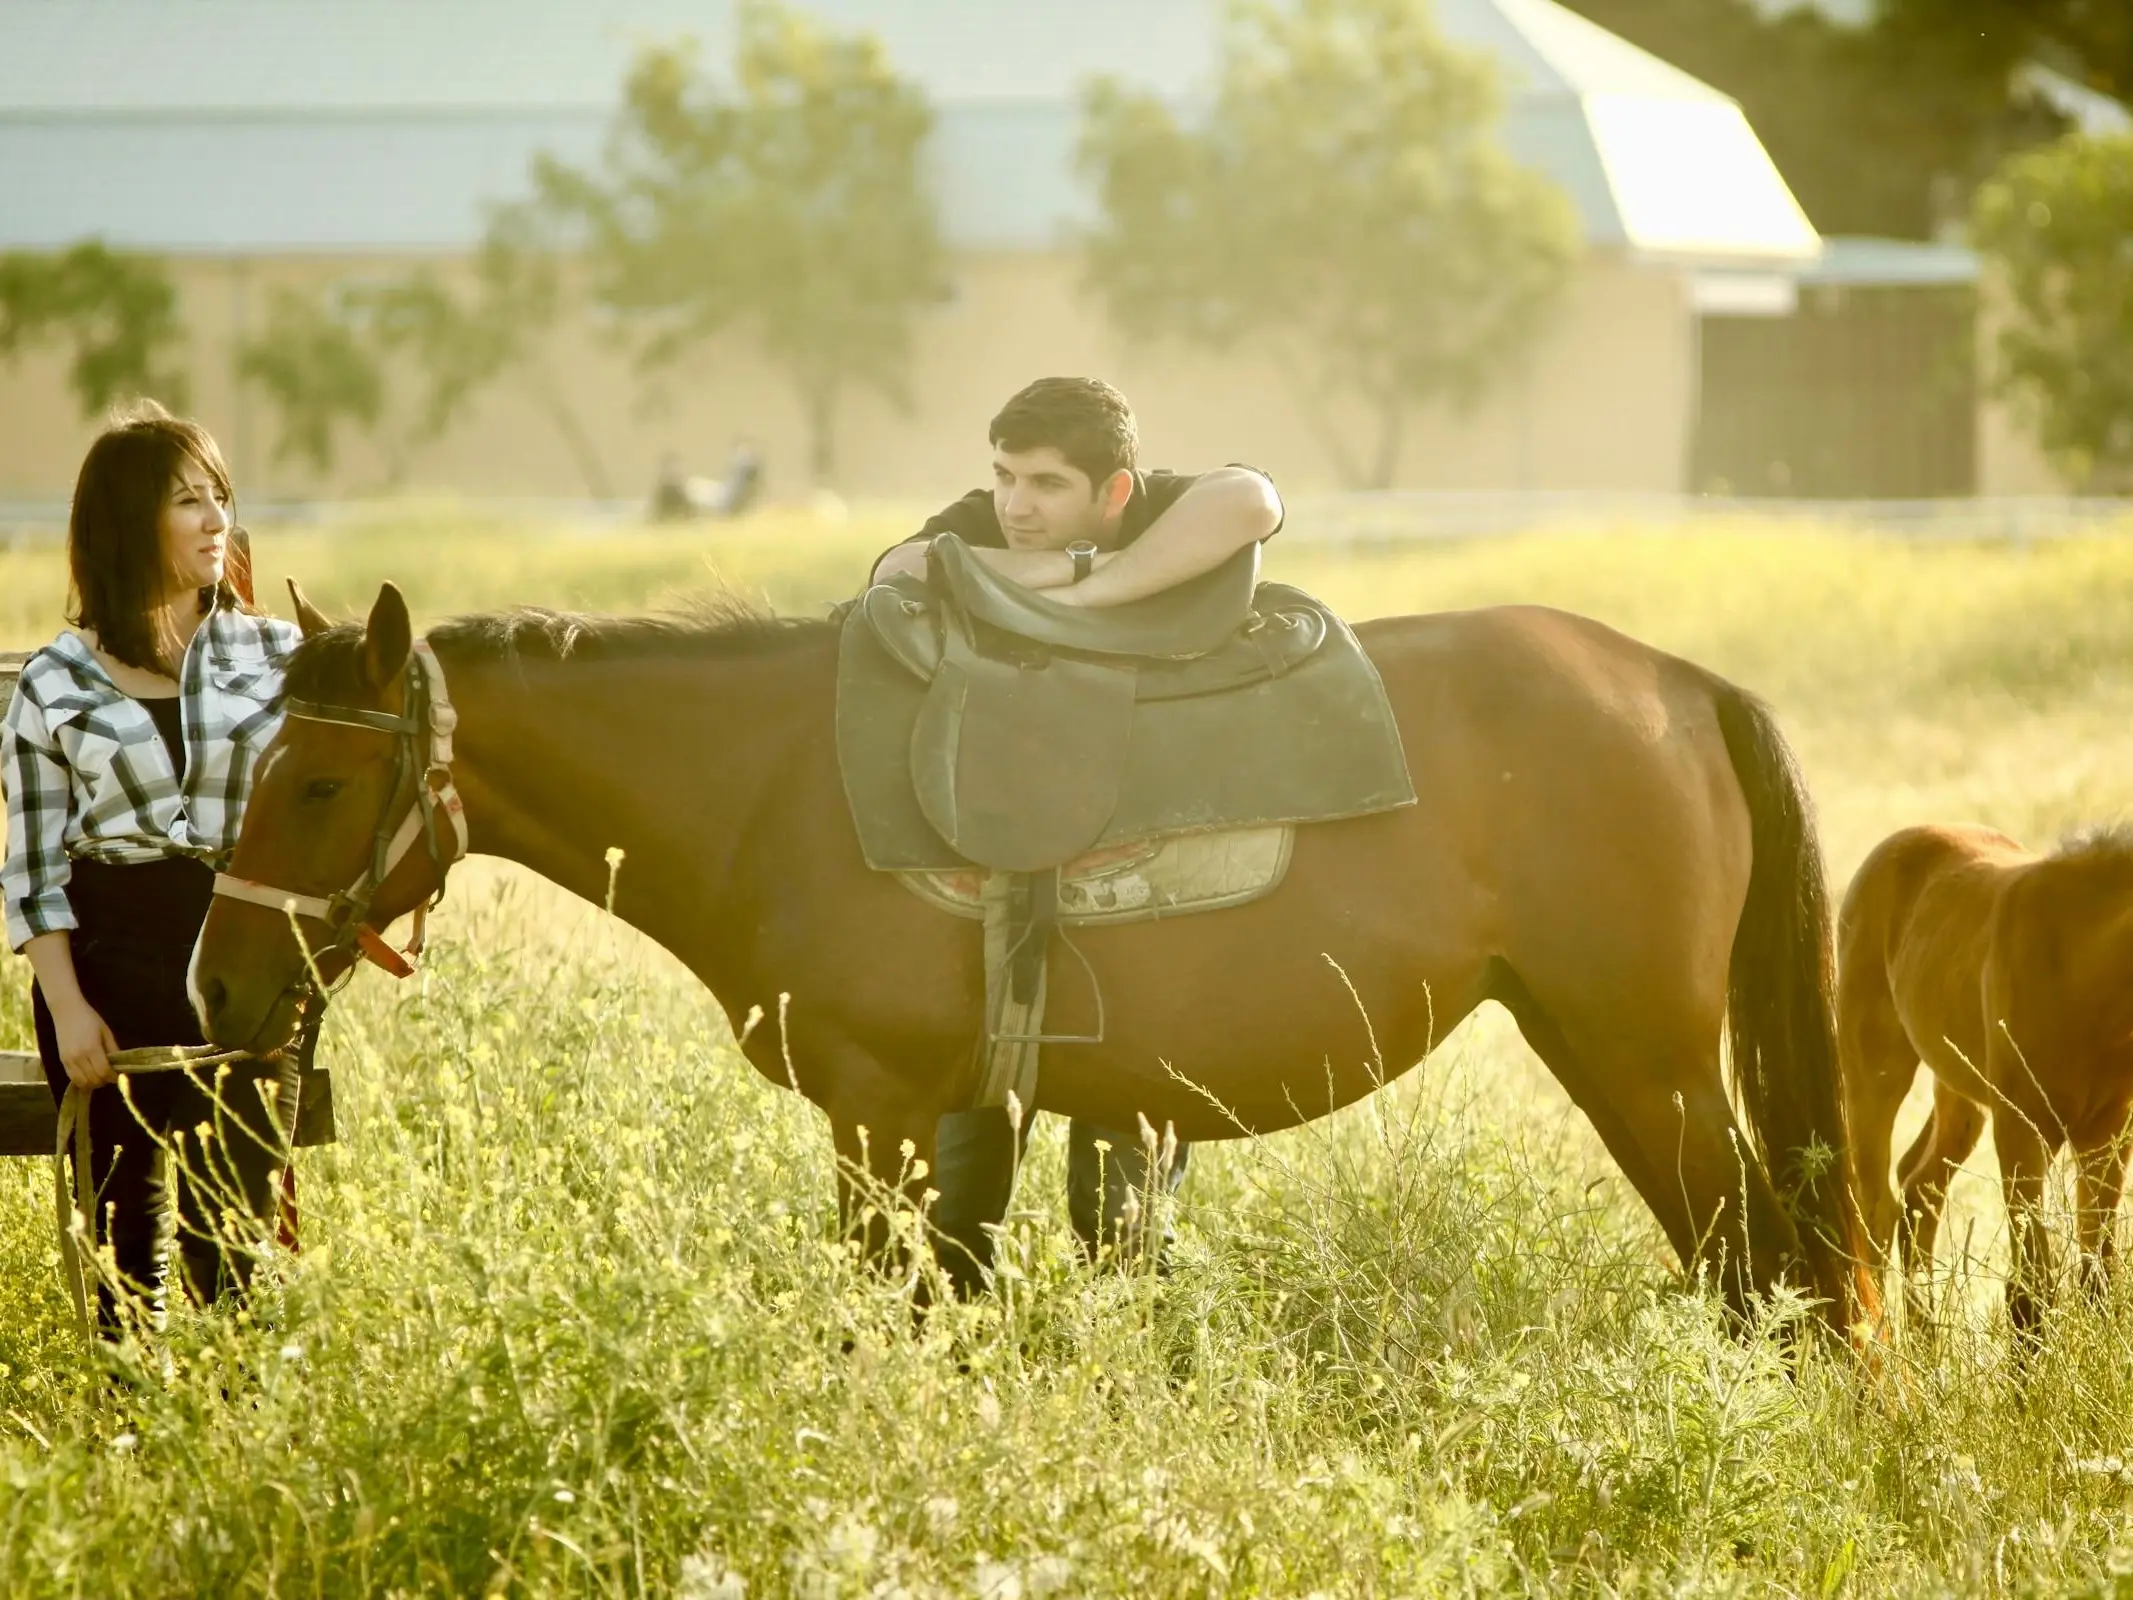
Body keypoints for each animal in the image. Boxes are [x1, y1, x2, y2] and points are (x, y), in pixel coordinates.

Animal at [188, 580, 1877, 1337]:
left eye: (319, 781)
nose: (215, 985)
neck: (776, 779)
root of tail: (1675, 681)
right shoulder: (964, 1123)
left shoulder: (875, 1115)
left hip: (1645, 1066)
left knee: (1767, 1272)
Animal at [1838, 822, 2133, 1337]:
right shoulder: (2020, 1129)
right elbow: (2032, 1287)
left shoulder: (2108, 1133)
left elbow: (2098, 1275)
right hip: (1874, 1076)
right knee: (1876, 1207)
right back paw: (1884, 1343)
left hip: (1958, 1094)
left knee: (1919, 1190)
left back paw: (1926, 1338)